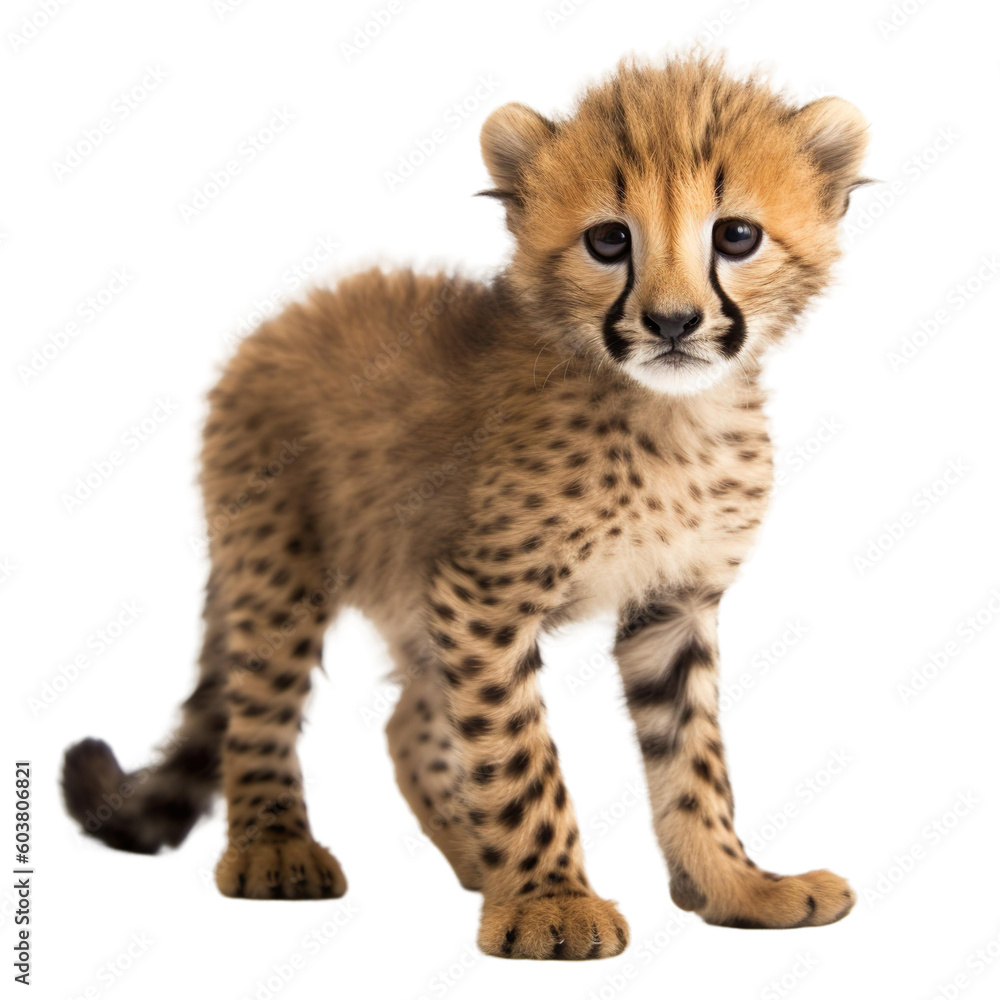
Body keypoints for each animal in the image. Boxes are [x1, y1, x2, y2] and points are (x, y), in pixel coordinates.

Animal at [63, 53, 870, 960]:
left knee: (407, 722)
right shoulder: (482, 596)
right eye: (609, 240)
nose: (672, 323)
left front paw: (737, 887)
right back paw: (276, 851)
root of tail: (288, 317)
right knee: (258, 708)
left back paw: (478, 860)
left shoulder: (671, 606)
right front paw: (553, 902)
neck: (670, 413)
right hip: (280, 572)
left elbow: (692, 761)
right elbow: (519, 755)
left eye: (735, 236)